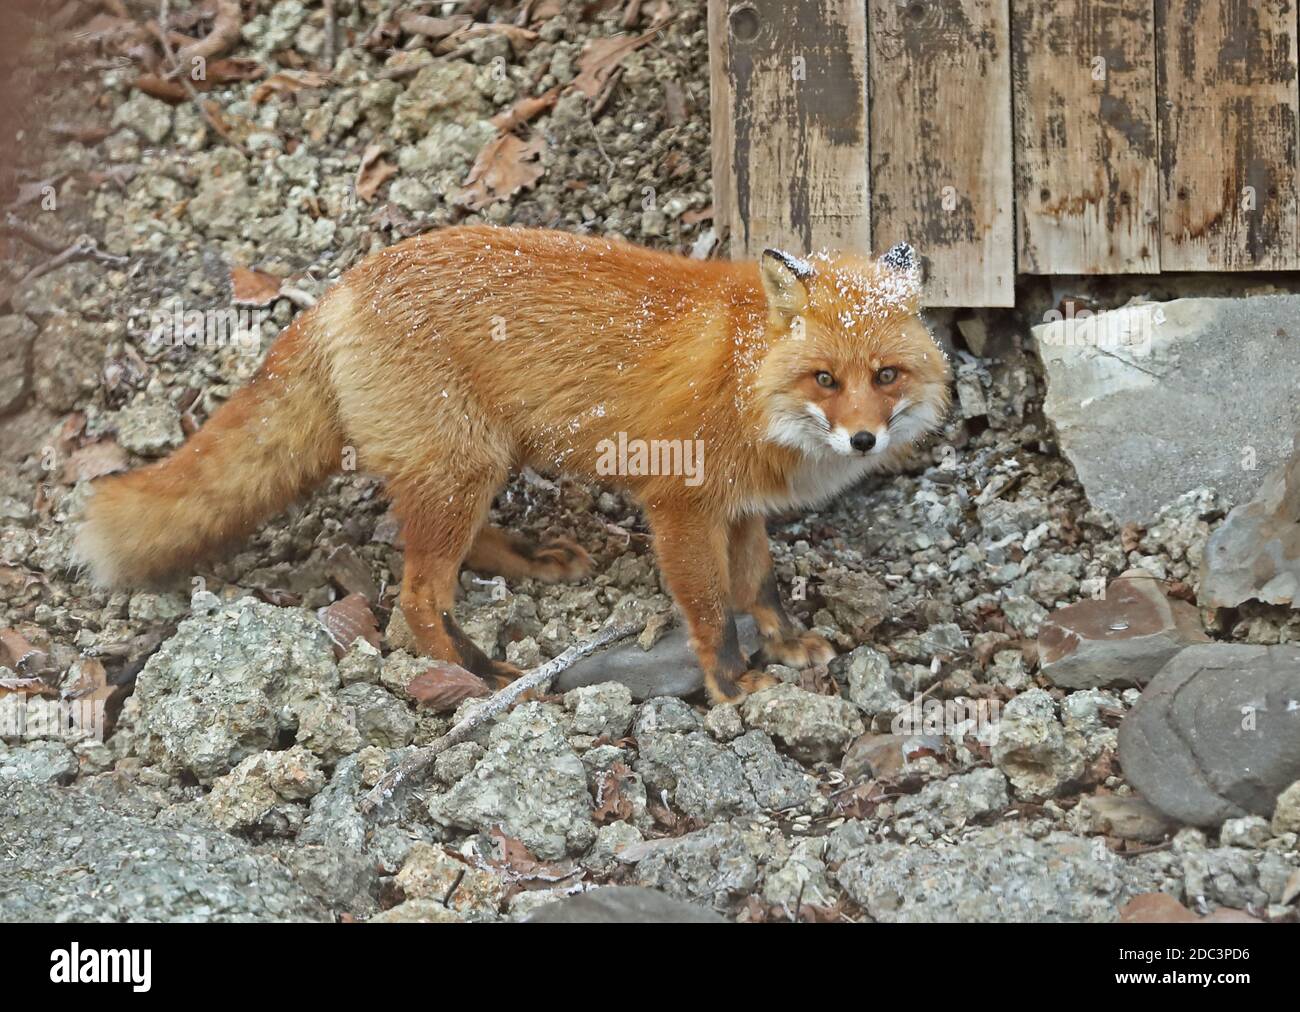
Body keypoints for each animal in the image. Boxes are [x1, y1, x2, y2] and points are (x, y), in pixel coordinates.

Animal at [76, 226, 951, 705]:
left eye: (886, 376)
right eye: (825, 380)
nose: (864, 441)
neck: (746, 381)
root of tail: (340, 290)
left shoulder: (738, 511)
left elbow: (757, 588)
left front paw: (787, 644)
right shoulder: (681, 504)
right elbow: (709, 610)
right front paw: (731, 687)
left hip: (479, 464)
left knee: (443, 552)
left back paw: (530, 560)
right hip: (460, 471)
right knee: (416, 598)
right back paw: (472, 675)